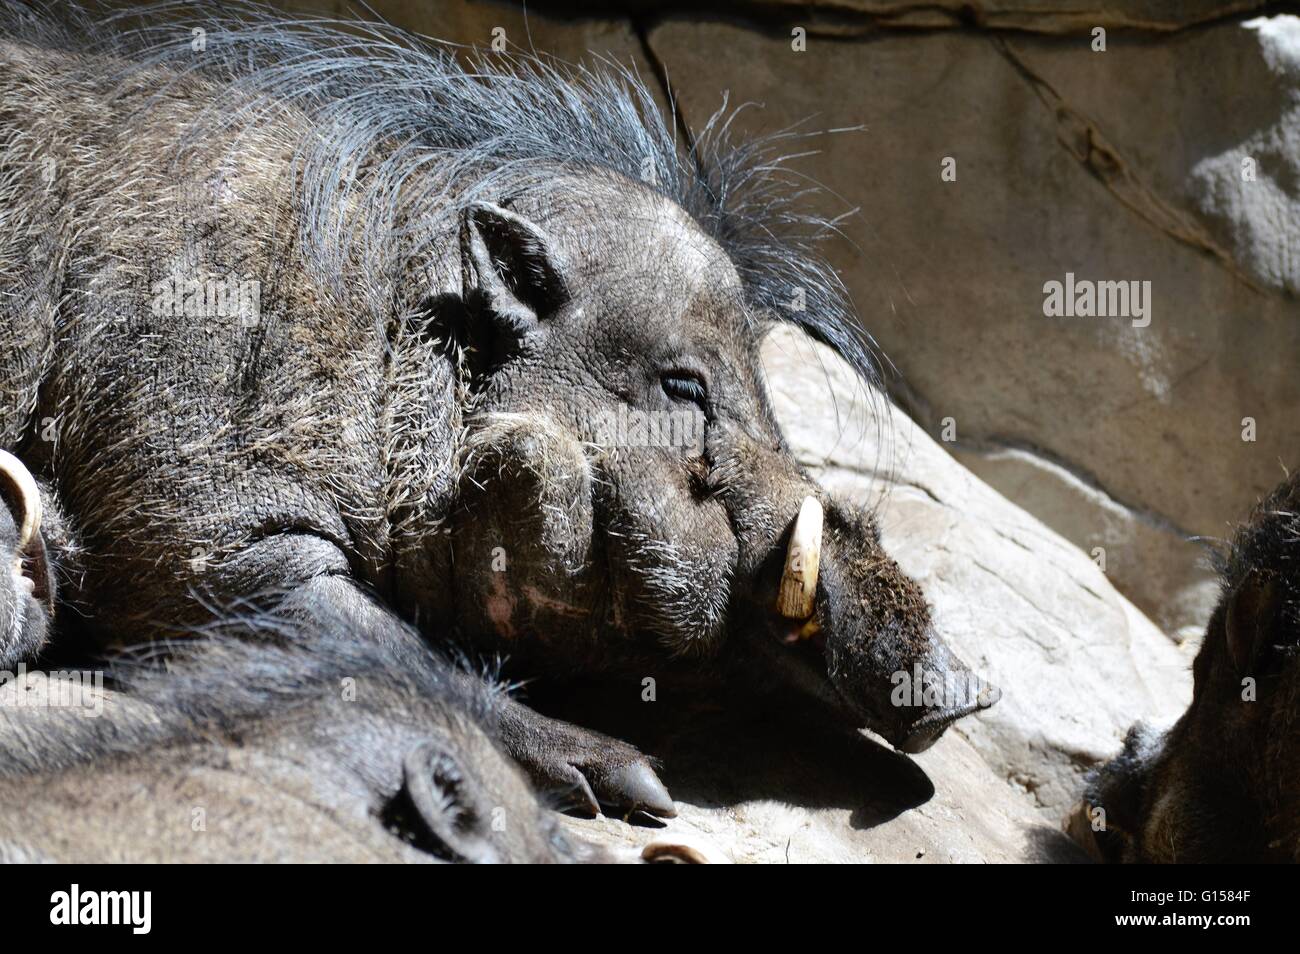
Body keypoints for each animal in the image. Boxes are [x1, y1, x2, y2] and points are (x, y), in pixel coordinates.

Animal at [0, 0, 996, 819]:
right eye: (683, 386)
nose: (969, 691)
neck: (397, 339)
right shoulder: (199, 530)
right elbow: (400, 654)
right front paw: (639, 786)